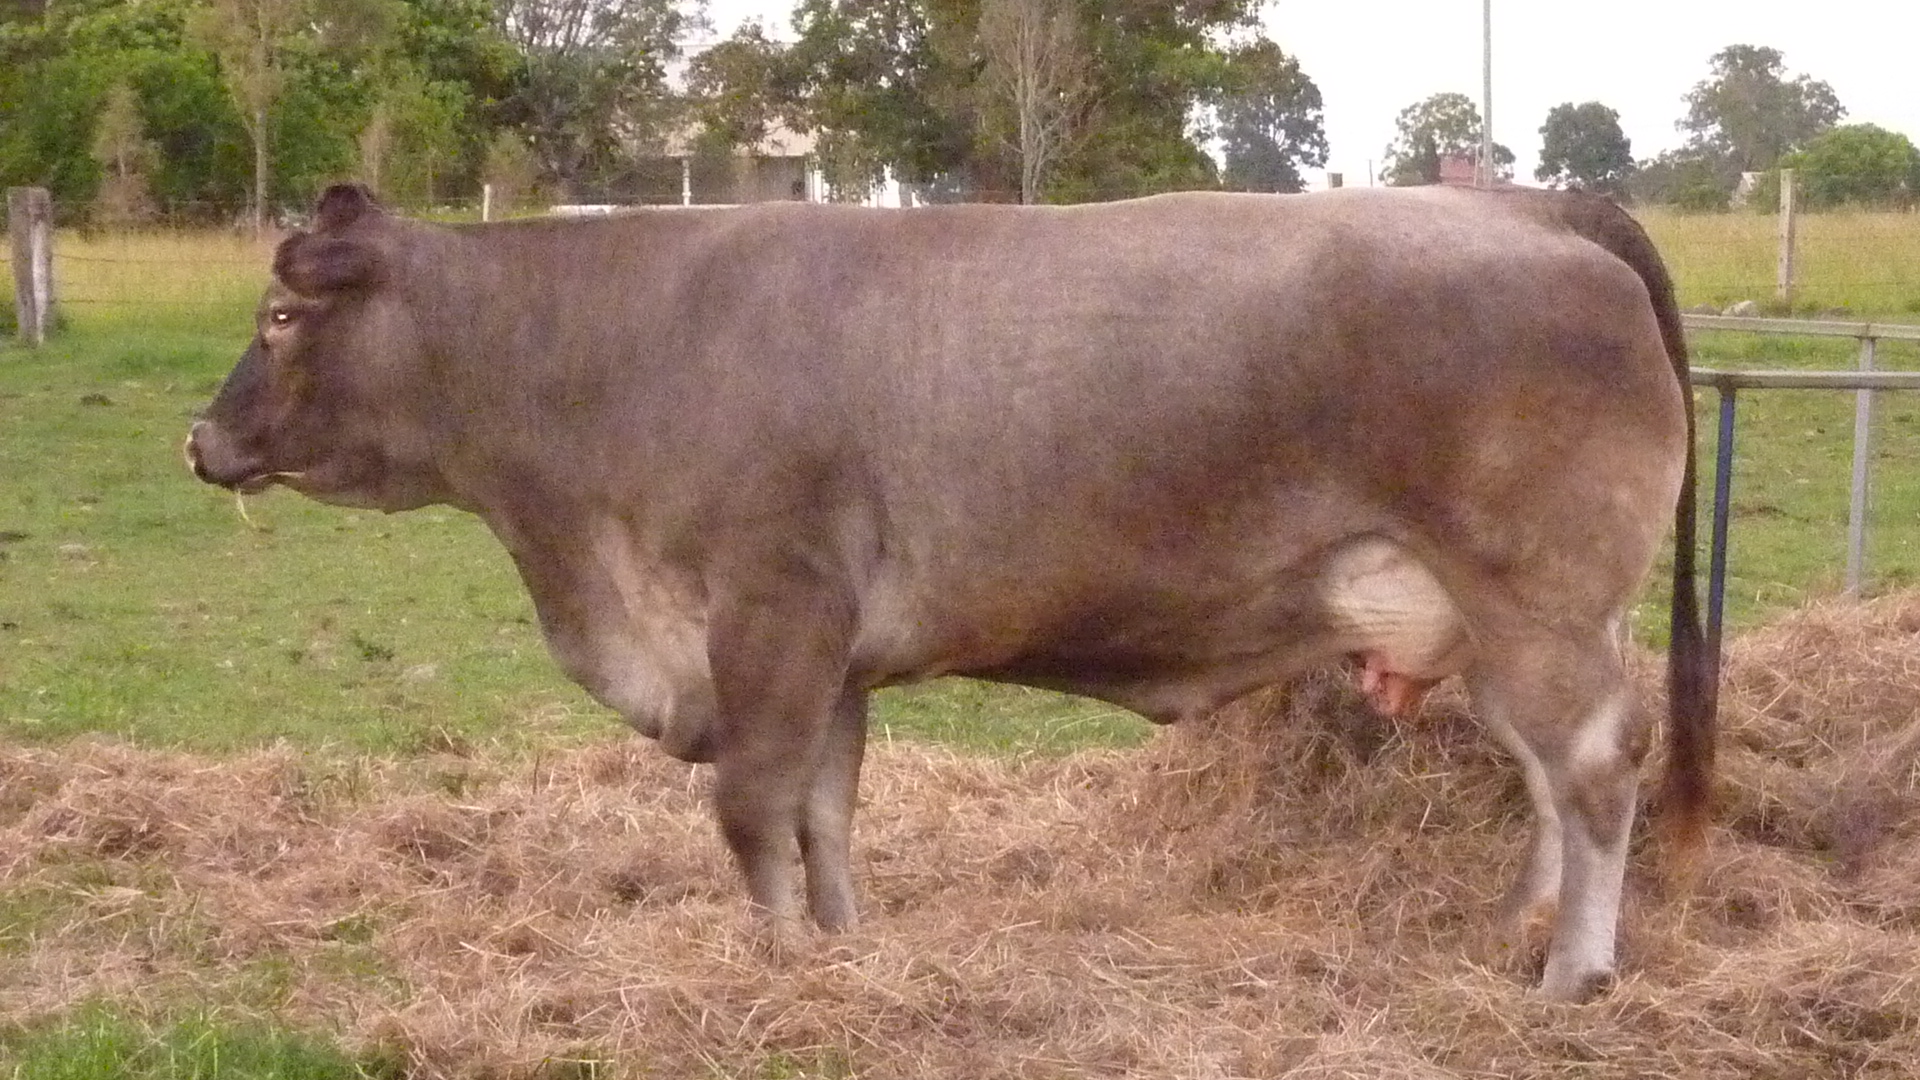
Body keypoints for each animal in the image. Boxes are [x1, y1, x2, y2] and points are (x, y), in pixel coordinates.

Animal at [186, 183, 1715, 1000]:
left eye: (280, 318)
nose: (201, 440)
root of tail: (1532, 204)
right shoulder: (831, 659)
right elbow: (824, 810)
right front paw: (843, 946)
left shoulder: (771, 611)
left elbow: (750, 806)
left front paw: (776, 968)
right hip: (1503, 619)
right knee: (1545, 774)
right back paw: (1520, 924)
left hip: (1537, 598)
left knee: (1594, 766)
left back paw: (1574, 973)